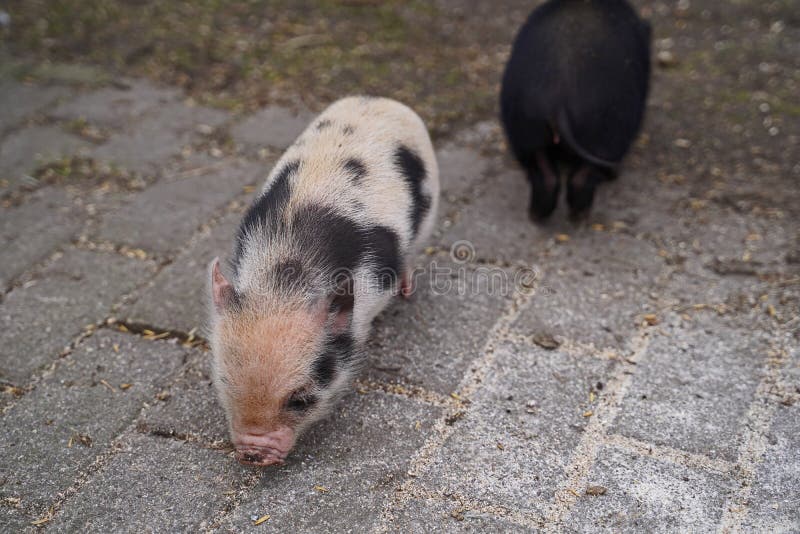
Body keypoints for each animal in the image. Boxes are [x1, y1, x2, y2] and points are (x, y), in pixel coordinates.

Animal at [500, 0, 651, 219]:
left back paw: (536, 215)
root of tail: (558, 100)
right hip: (608, 130)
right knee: (584, 175)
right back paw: (581, 216)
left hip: (525, 127)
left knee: (545, 172)